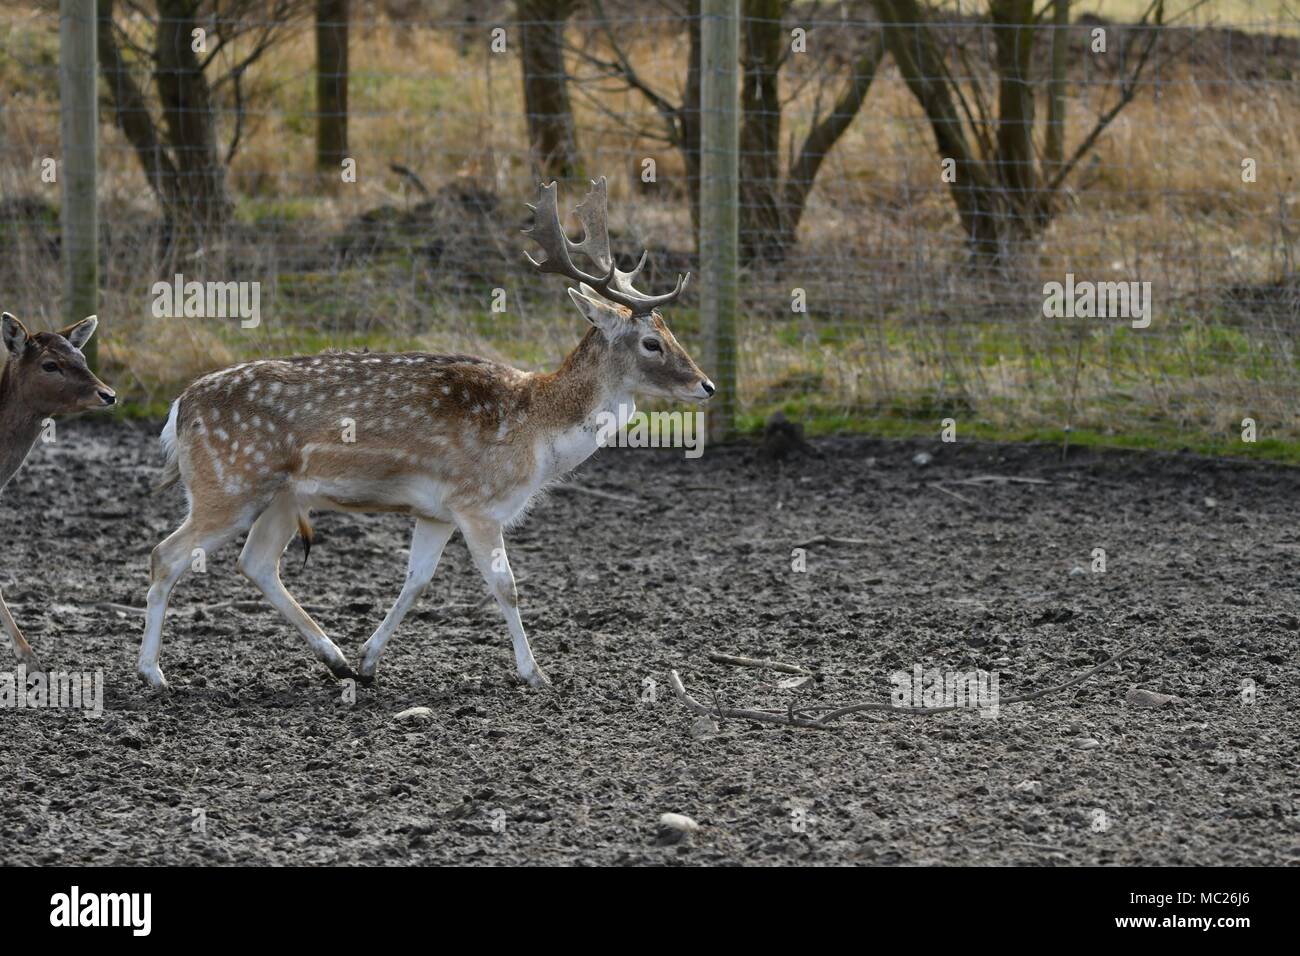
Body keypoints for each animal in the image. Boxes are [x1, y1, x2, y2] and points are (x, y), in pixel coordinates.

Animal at [137, 178, 714, 691]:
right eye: (651, 343)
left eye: (670, 333)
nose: (706, 385)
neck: (537, 431)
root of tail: (179, 408)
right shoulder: (476, 502)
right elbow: (506, 587)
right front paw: (536, 674)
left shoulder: (435, 512)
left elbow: (416, 582)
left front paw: (369, 661)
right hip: (229, 483)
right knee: (167, 554)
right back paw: (153, 674)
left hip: (282, 495)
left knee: (256, 563)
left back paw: (336, 660)